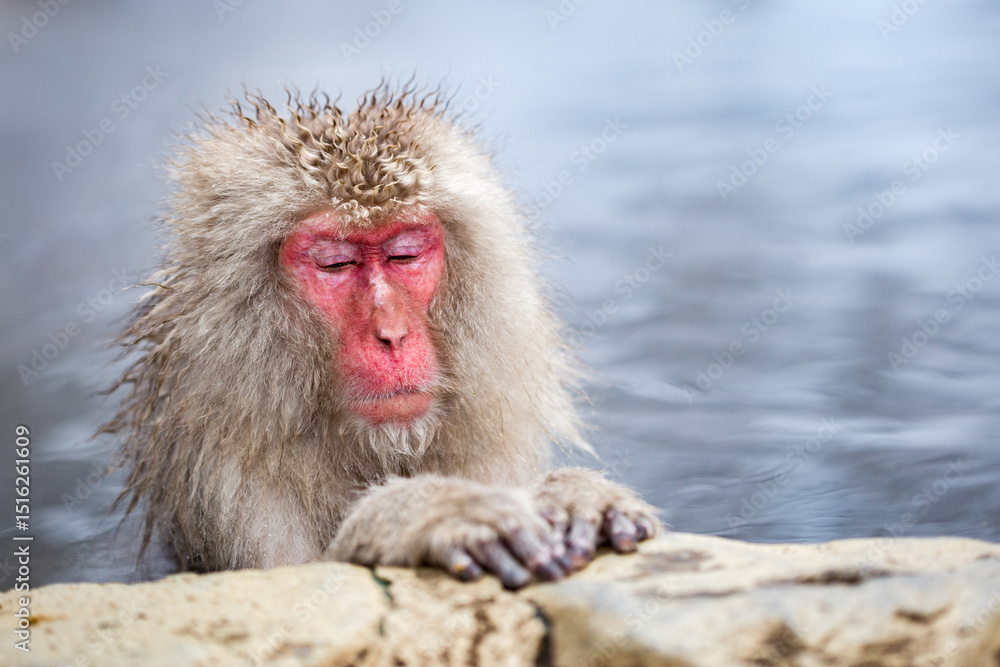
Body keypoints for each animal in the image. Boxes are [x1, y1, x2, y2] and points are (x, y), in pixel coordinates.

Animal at [105, 83, 661, 590]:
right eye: (336, 263)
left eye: (403, 254)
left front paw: (575, 494)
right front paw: (431, 512)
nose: (391, 335)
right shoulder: (235, 484)